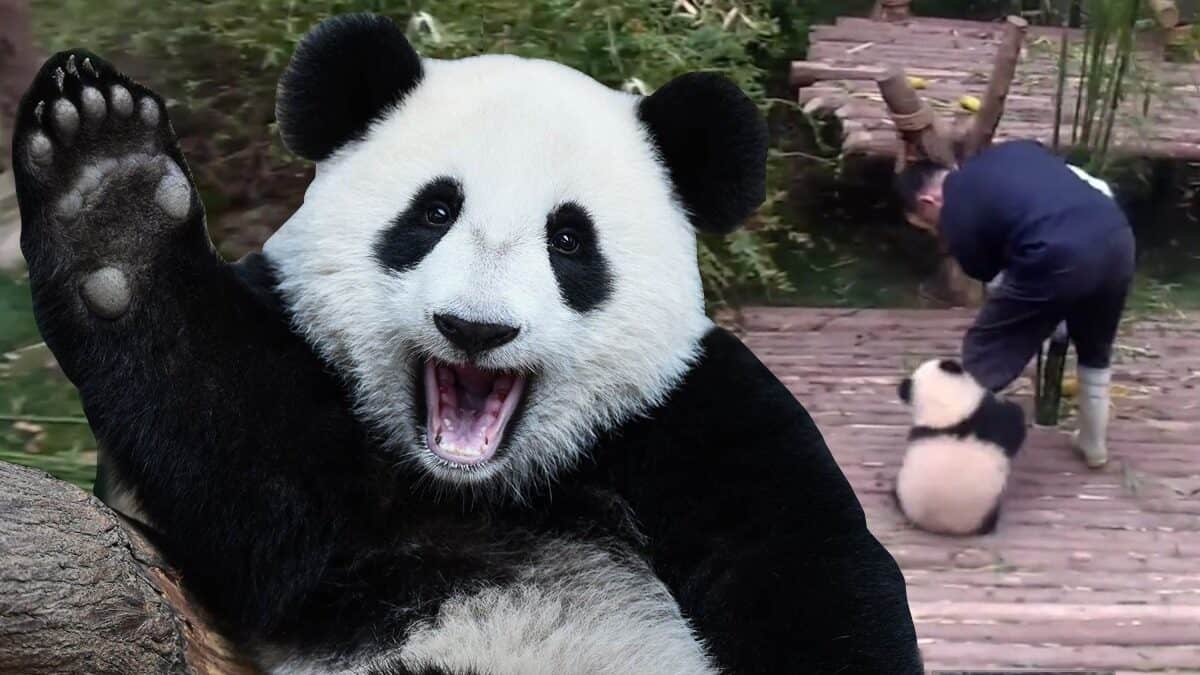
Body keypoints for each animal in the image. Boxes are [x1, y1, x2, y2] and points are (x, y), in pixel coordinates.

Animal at [12, 13, 921, 675]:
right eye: (434, 212)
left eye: (569, 240)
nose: (477, 329)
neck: (477, 487)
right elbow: (258, 476)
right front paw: (110, 191)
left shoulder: (692, 410)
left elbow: (808, 572)